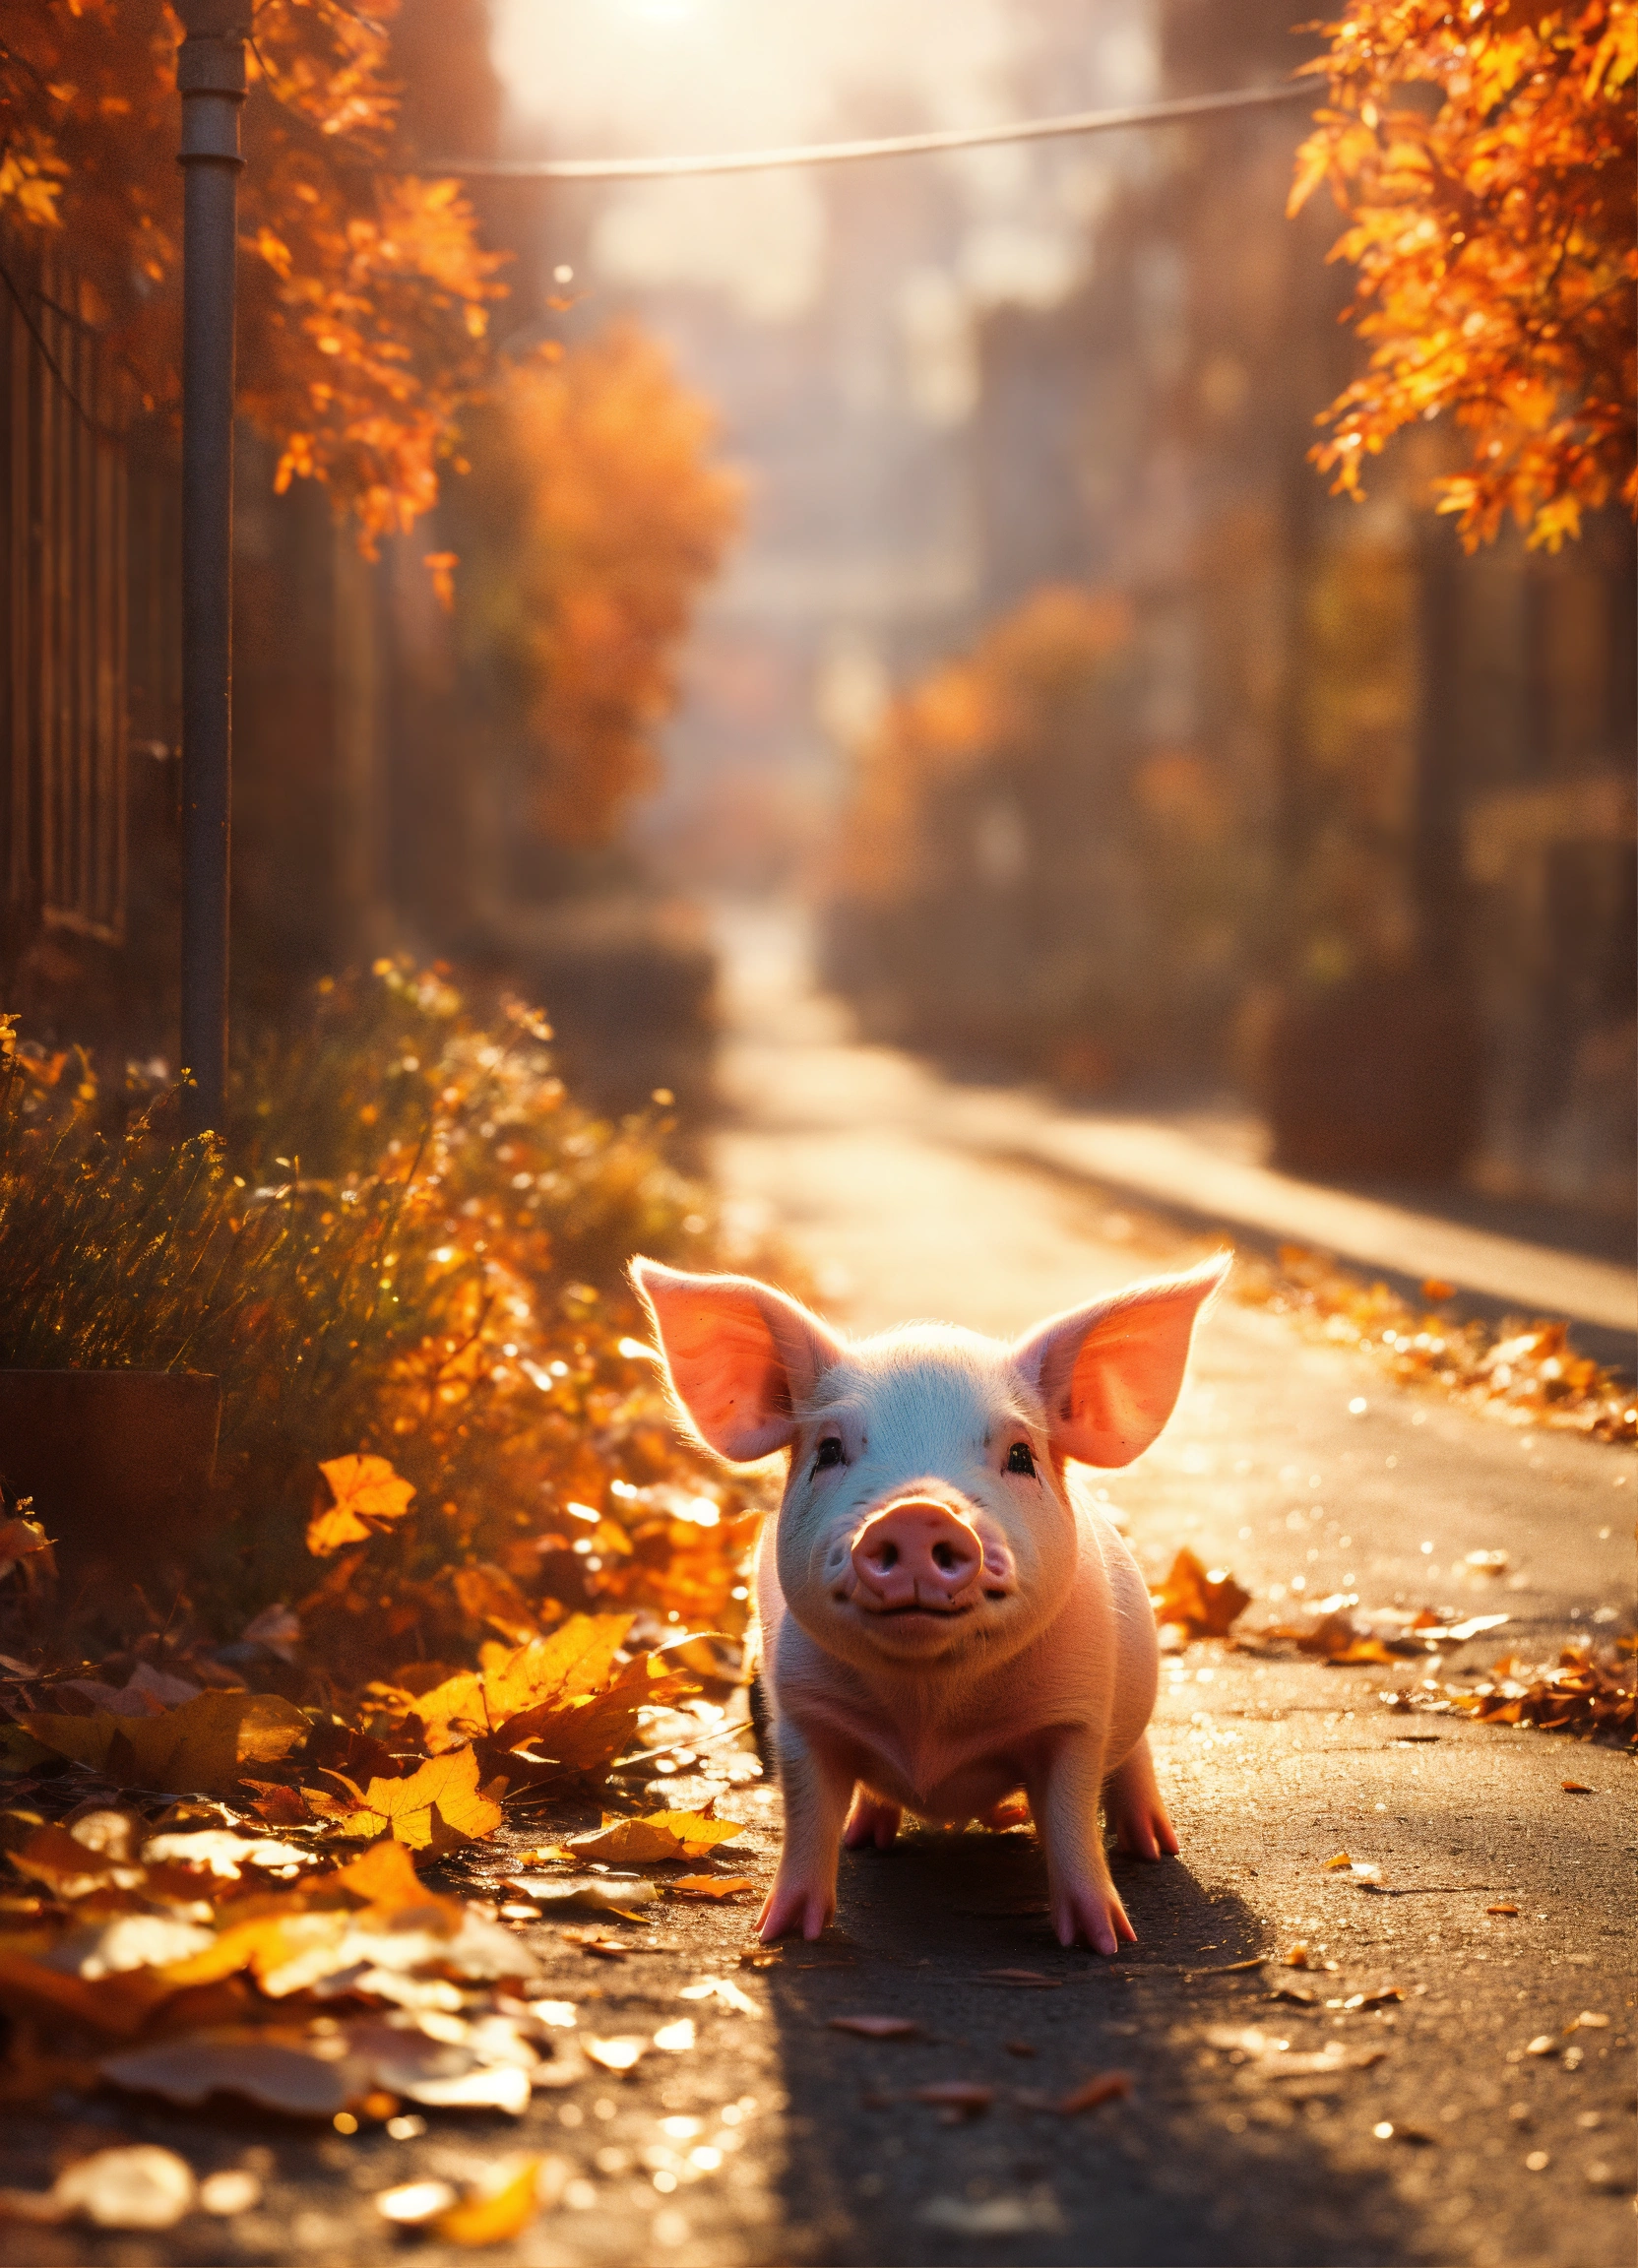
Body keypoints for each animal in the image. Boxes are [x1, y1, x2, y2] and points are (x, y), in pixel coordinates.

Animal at [630, 1251, 1230, 1954]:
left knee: (1134, 1760)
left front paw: (1105, 1944)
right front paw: (777, 1936)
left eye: (1021, 1455)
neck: (928, 1710)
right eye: (828, 1451)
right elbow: (807, 1819)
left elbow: (1070, 1820)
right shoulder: (800, 1714)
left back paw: (1155, 1849)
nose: (917, 1513)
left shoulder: (1077, 1716)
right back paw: (866, 1838)